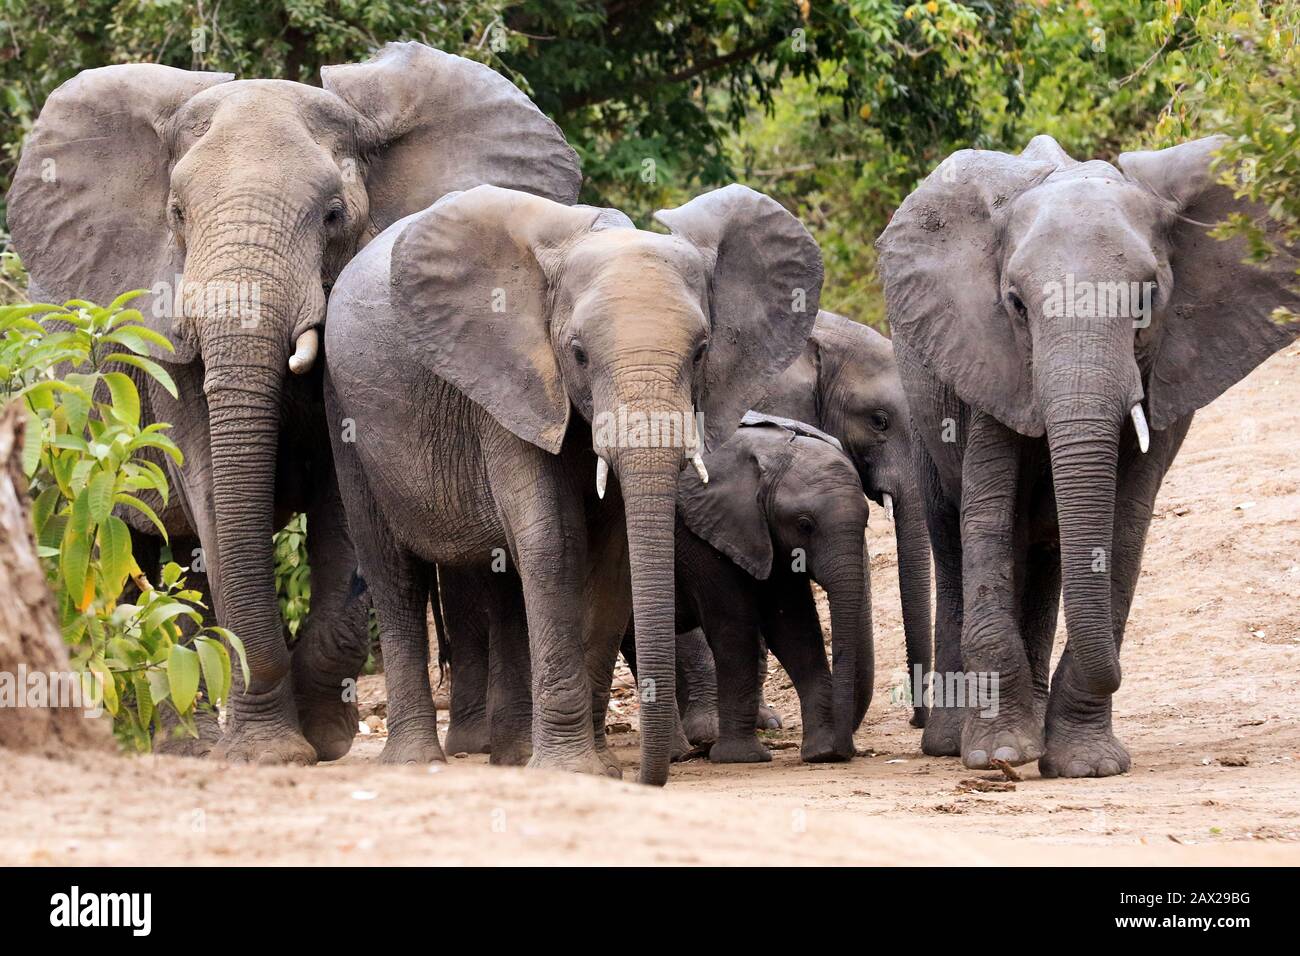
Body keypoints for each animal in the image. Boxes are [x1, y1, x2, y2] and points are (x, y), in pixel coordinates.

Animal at [6, 41, 582, 763]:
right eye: (177, 215)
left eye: (333, 216)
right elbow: (210, 484)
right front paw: (270, 751)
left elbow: (341, 505)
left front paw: (323, 733)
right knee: (139, 550)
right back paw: (187, 744)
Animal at [324, 183, 822, 784]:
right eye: (579, 354)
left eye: (702, 351)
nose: (652, 775)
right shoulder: (512, 383)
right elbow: (554, 542)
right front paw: (574, 770)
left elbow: (611, 559)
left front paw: (597, 768)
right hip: (345, 412)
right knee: (392, 570)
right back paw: (419, 761)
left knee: (502, 581)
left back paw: (514, 757)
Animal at [876, 134, 1299, 776]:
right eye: (1016, 305)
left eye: (1148, 300)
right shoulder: (987, 355)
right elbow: (988, 516)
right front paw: (999, 754)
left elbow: (1125, 524)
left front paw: (1085, 765)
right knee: (952, 533)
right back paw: (953, 742)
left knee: (1045, 549)